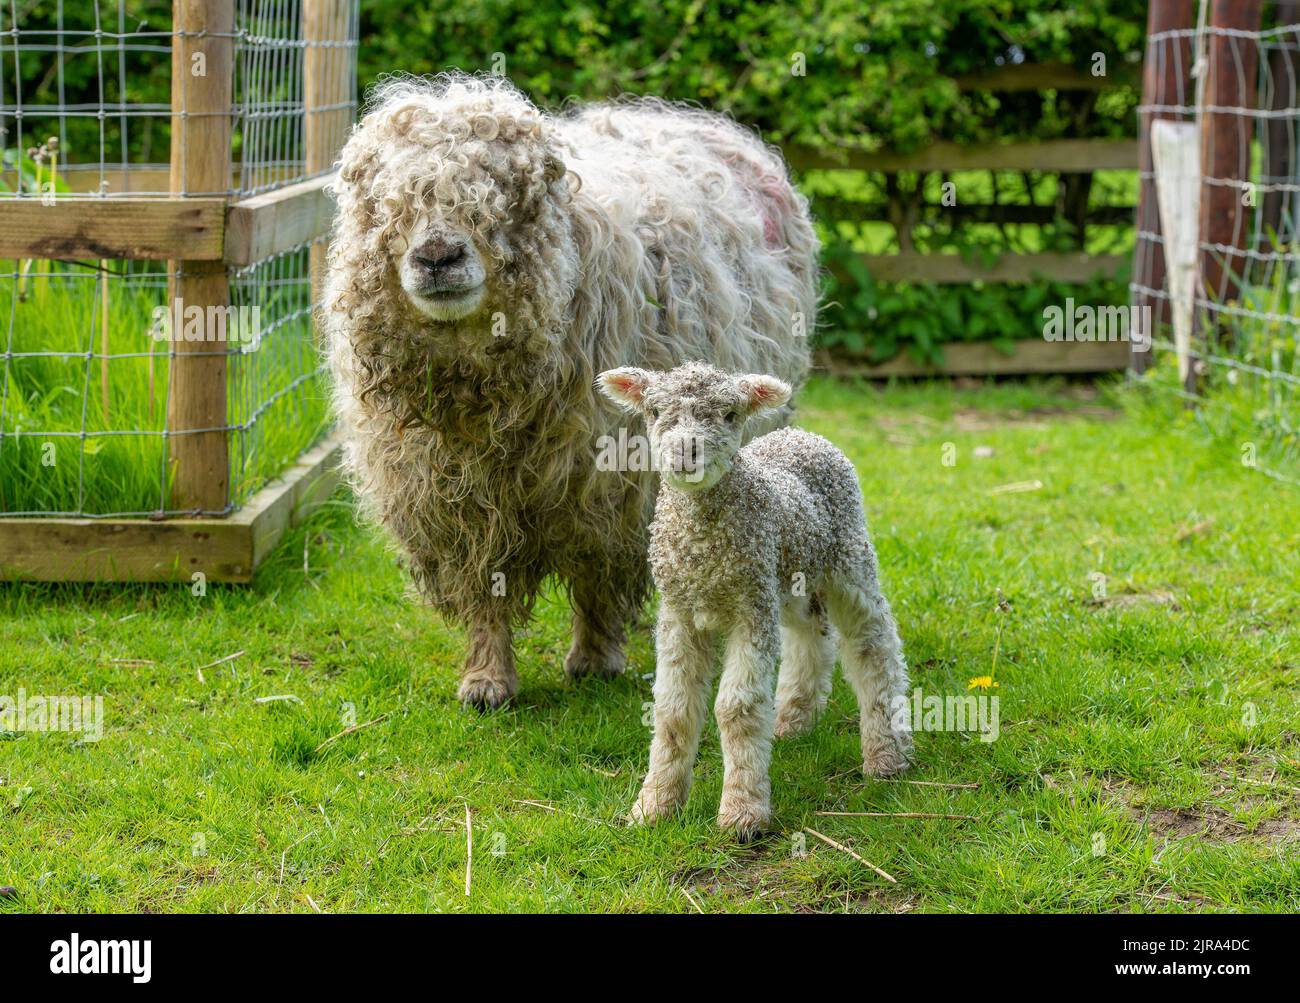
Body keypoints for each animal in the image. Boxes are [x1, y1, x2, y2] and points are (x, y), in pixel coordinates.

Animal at [322, 73, 817, 709]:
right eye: (388, 205)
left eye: (506, 197)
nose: (436, 257)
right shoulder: (448, 499)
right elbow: (483, 585)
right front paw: (486, 680)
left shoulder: (617, 481)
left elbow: (599, 570)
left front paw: (596, 657)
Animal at [597, 362, 912, 841]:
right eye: (654, 411)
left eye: (729, 414)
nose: (686, 451)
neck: (702, 550)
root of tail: (804, 434)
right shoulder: (679, 612)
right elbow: (673, 710)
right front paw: (654, 806)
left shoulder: (750, 612)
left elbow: (737, 709)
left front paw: (742, 813)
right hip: (788, 574)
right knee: (811, 633)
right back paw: (794, 721)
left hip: (847, 559)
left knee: (873, 643)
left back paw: (887, 755)